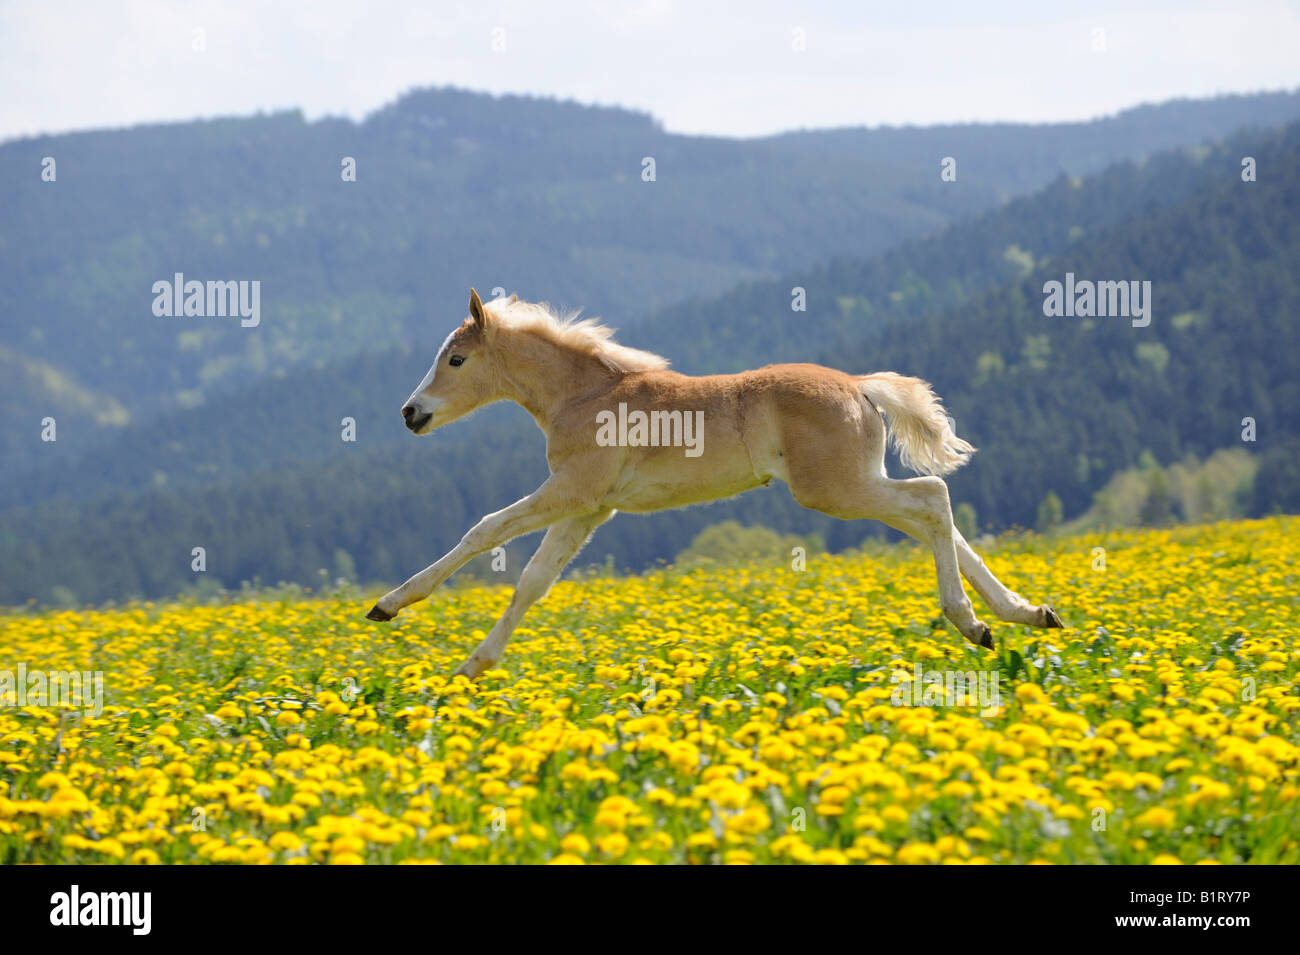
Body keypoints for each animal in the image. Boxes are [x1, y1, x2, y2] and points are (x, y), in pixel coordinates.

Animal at [367, 289, 1064, 679]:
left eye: (456, 359)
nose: (409, 413)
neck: (584, 395)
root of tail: (862, 386)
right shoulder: (590, 509)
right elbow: (534, 583)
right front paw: (472, 666)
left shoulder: (571, 492)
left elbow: (485, 531)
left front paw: (390, 605)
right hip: (854, 484)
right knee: (934, 519)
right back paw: (1023, 614)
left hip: (837, 490)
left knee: (933, 501)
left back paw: (972, 621)